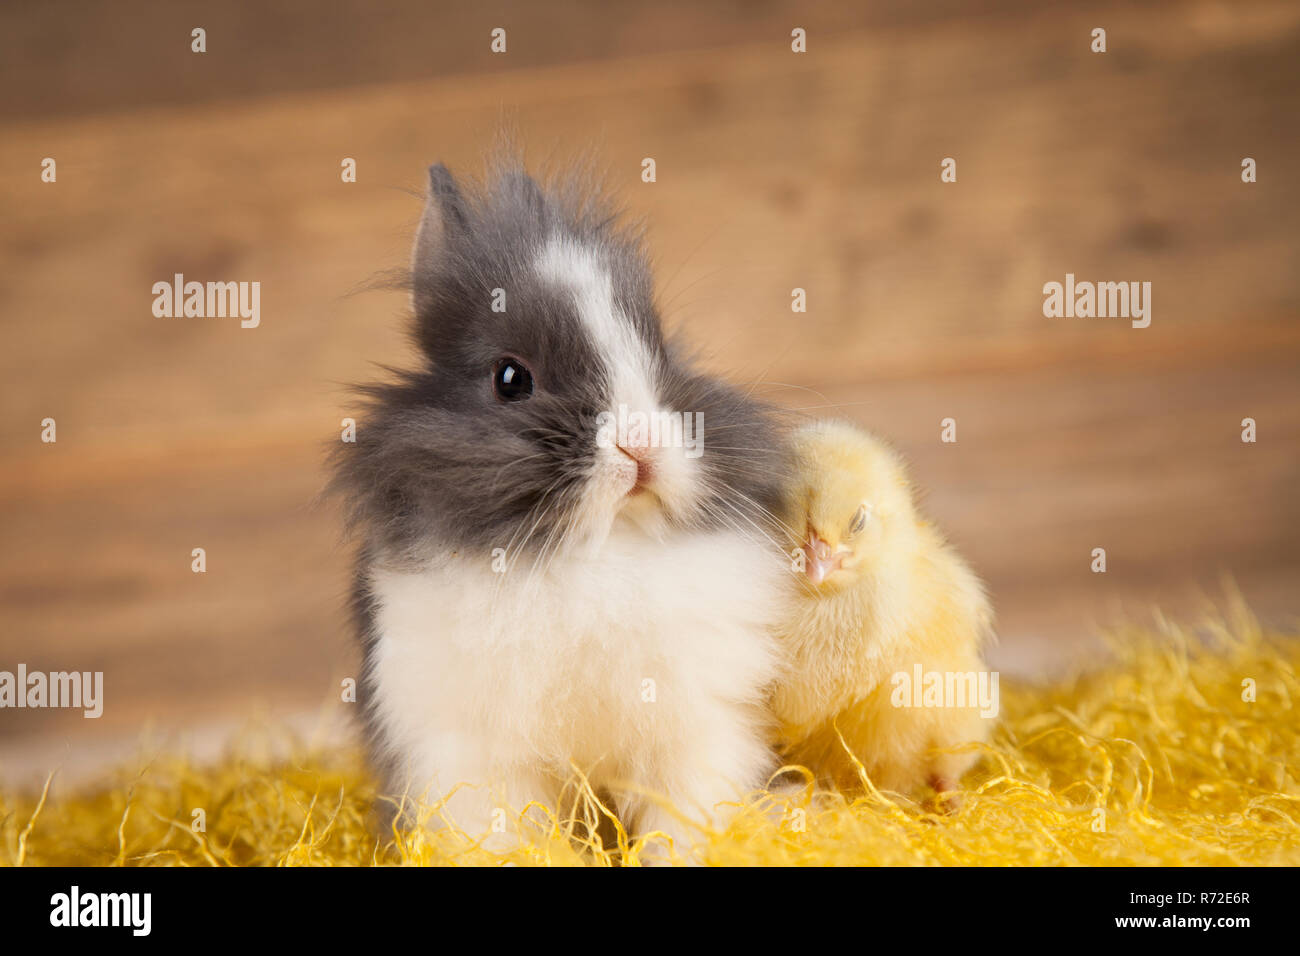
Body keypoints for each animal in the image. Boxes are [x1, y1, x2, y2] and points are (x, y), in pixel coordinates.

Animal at [331, 156, 791, 861]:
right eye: (509, 378)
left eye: (661, 352)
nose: (641, 443)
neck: (596, 549)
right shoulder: (472, 755)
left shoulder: (696, 735)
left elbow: (679, 825)